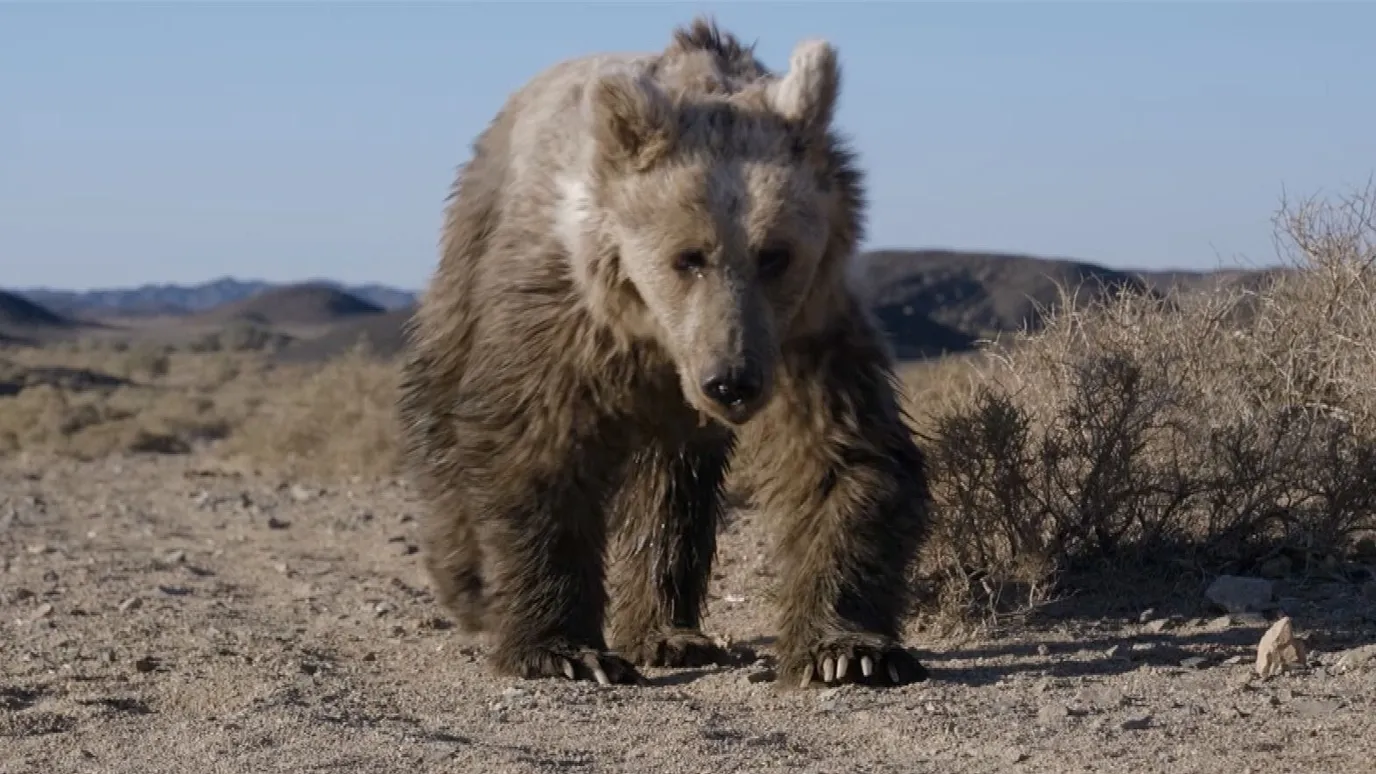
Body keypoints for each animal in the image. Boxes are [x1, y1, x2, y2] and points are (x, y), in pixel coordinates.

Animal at [396, 16, 933, 689]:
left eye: (775, 254)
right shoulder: (564, 317)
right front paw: (565, 650)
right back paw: (467, 583)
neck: (662, 338)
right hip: (471, 249)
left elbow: (842, 455)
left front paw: (849, 650)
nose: (731, 382)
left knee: (672, 493)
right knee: (442, 402)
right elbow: (537, 447)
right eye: (689, 256)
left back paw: (670, 634)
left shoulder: (805, 333)